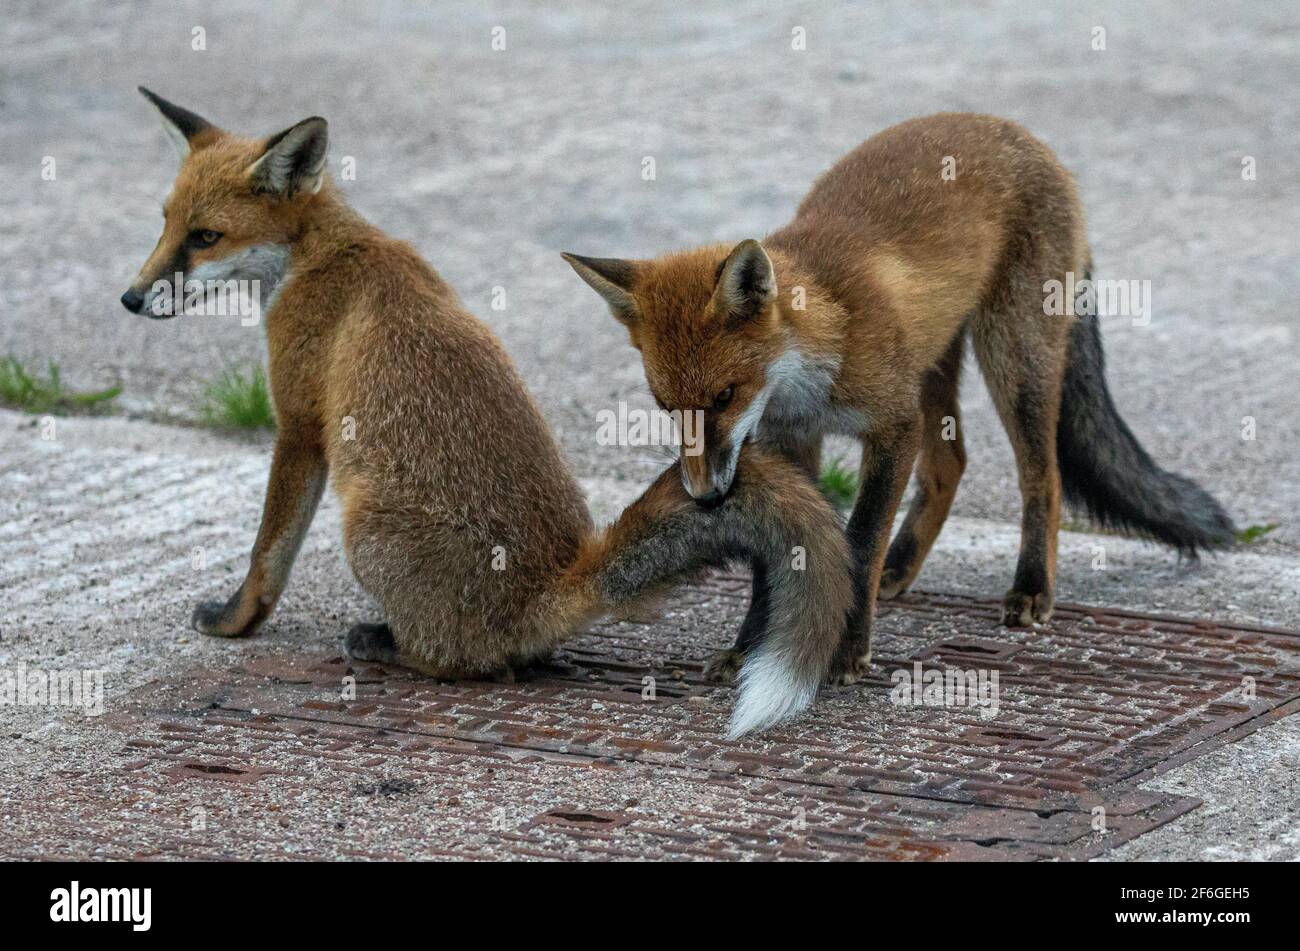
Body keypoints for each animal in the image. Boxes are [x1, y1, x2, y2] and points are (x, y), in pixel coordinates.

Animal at [119, 88, 856, 738]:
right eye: (163, 223)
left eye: (206, 237)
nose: (129, 299)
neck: (323, 254)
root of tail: (556, 584)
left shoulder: (300, 427)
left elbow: (267, 553)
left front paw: (235, 622)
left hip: (364, 531)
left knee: (472, 665)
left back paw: (386, 643)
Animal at [564, 112, 1236, 685]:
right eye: (665, 406)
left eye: (725, 395)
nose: (705, 497)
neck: (817, 361)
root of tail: (1022, 134)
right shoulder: (792, 439)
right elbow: (780, 557)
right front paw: (748, 646)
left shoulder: (892, 423)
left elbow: (860, 538)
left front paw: (847, 649)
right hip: (934, 364)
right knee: (950, 464)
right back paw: (901, 565)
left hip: (1011, 356)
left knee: (1041, 476)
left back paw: (1031, 588)